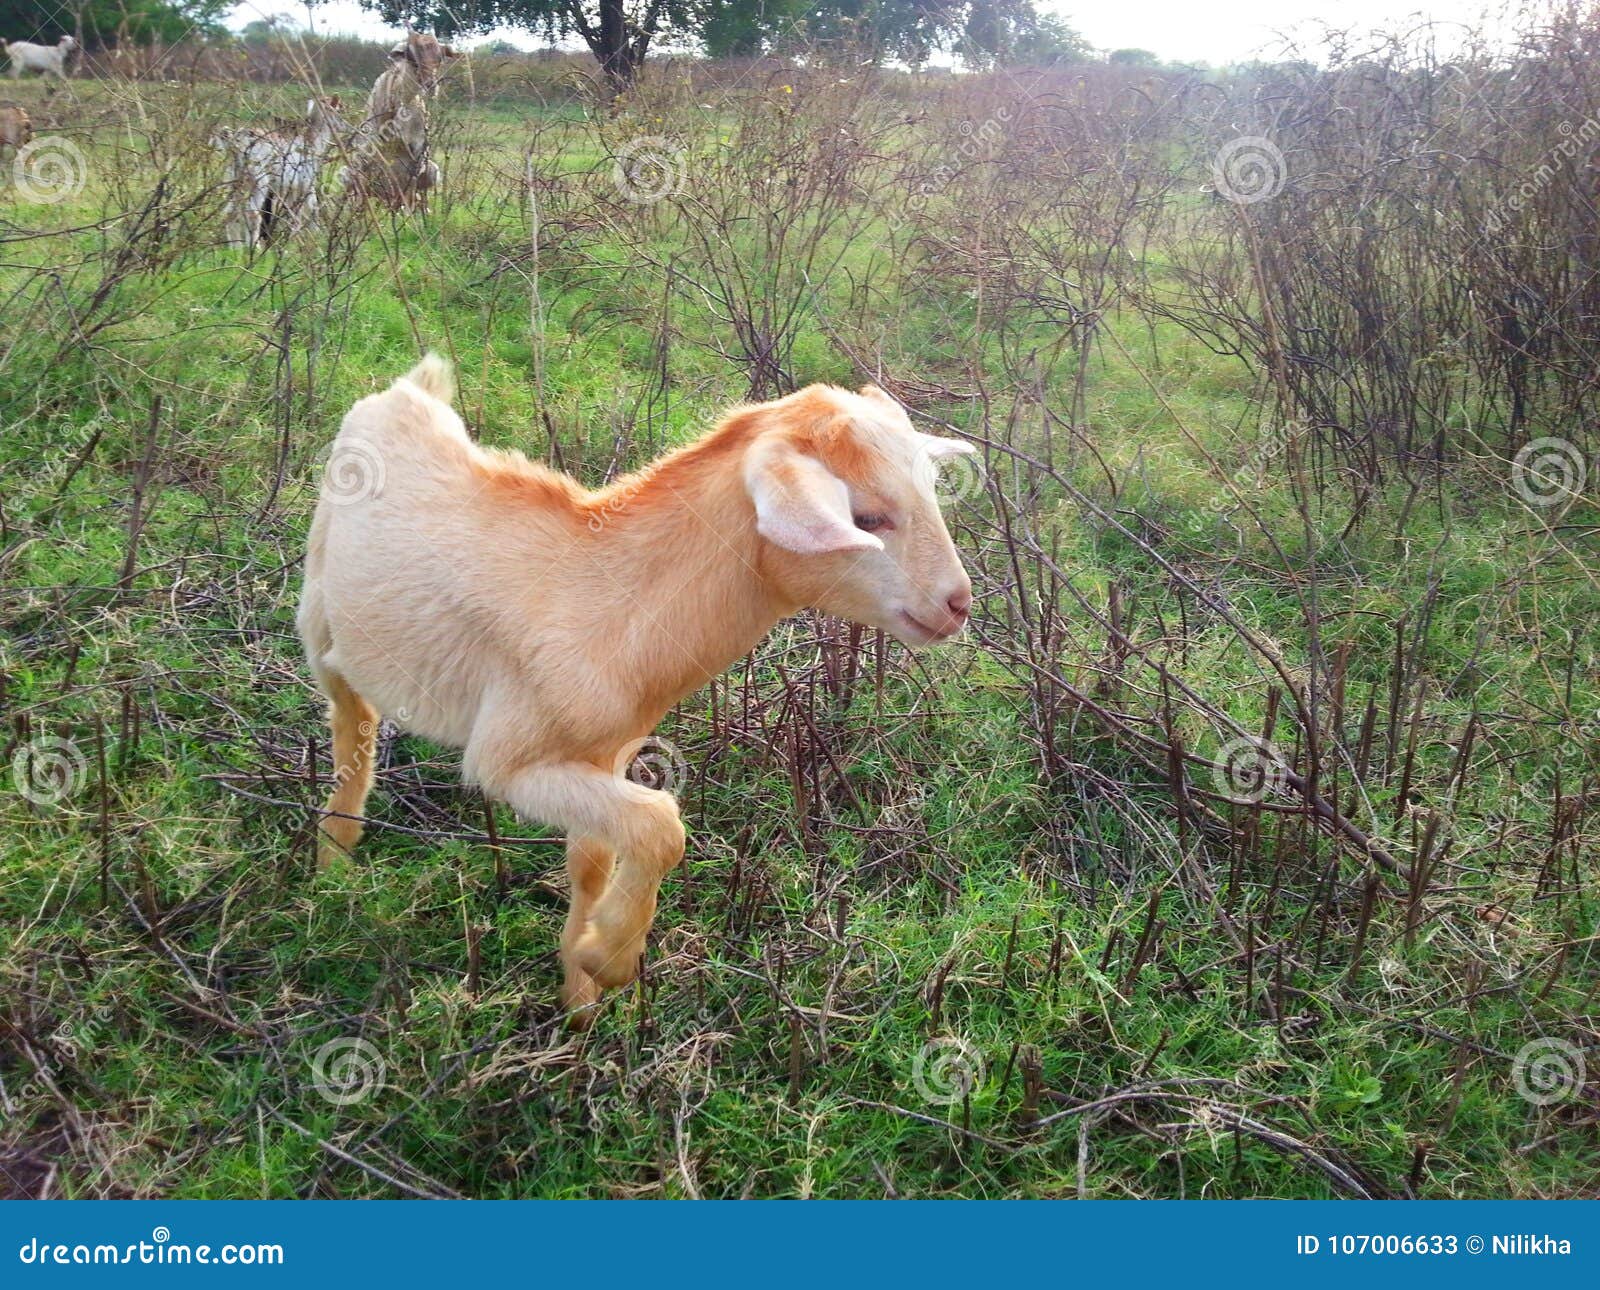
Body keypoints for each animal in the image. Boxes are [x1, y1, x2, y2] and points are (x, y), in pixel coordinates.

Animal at [214, 96, 344, 250]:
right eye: (340, 109)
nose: (344, 125)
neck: (313, 141)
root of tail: (234, 142)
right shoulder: (307, 181)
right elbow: (313, 208)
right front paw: (317, 237)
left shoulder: (291, 187)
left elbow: (294, 214)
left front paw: (293, 240)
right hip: (258, 179)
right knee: (252, 213)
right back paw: (254, 248)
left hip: (234, 179)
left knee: (229, 212)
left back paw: (236, 248)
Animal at [299, 357, 976, 1022]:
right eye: (868, 518)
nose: (958, 604)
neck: (610, 602)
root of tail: (408, 392)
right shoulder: (507, 758)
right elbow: (659, 825)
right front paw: (611, 960)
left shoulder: (605, 751)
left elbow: (593, 861)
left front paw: (579, 996)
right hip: (318, 608)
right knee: (349, 720)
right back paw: (333, 857)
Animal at [342, 29, 455, 213]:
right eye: (411, 56)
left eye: (439, 58)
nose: (430, 85)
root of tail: (386, 199)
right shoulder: (366, 152)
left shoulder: (418, 153)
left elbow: (411, 189)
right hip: (349, 172)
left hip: (431, 170)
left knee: (416, 198)